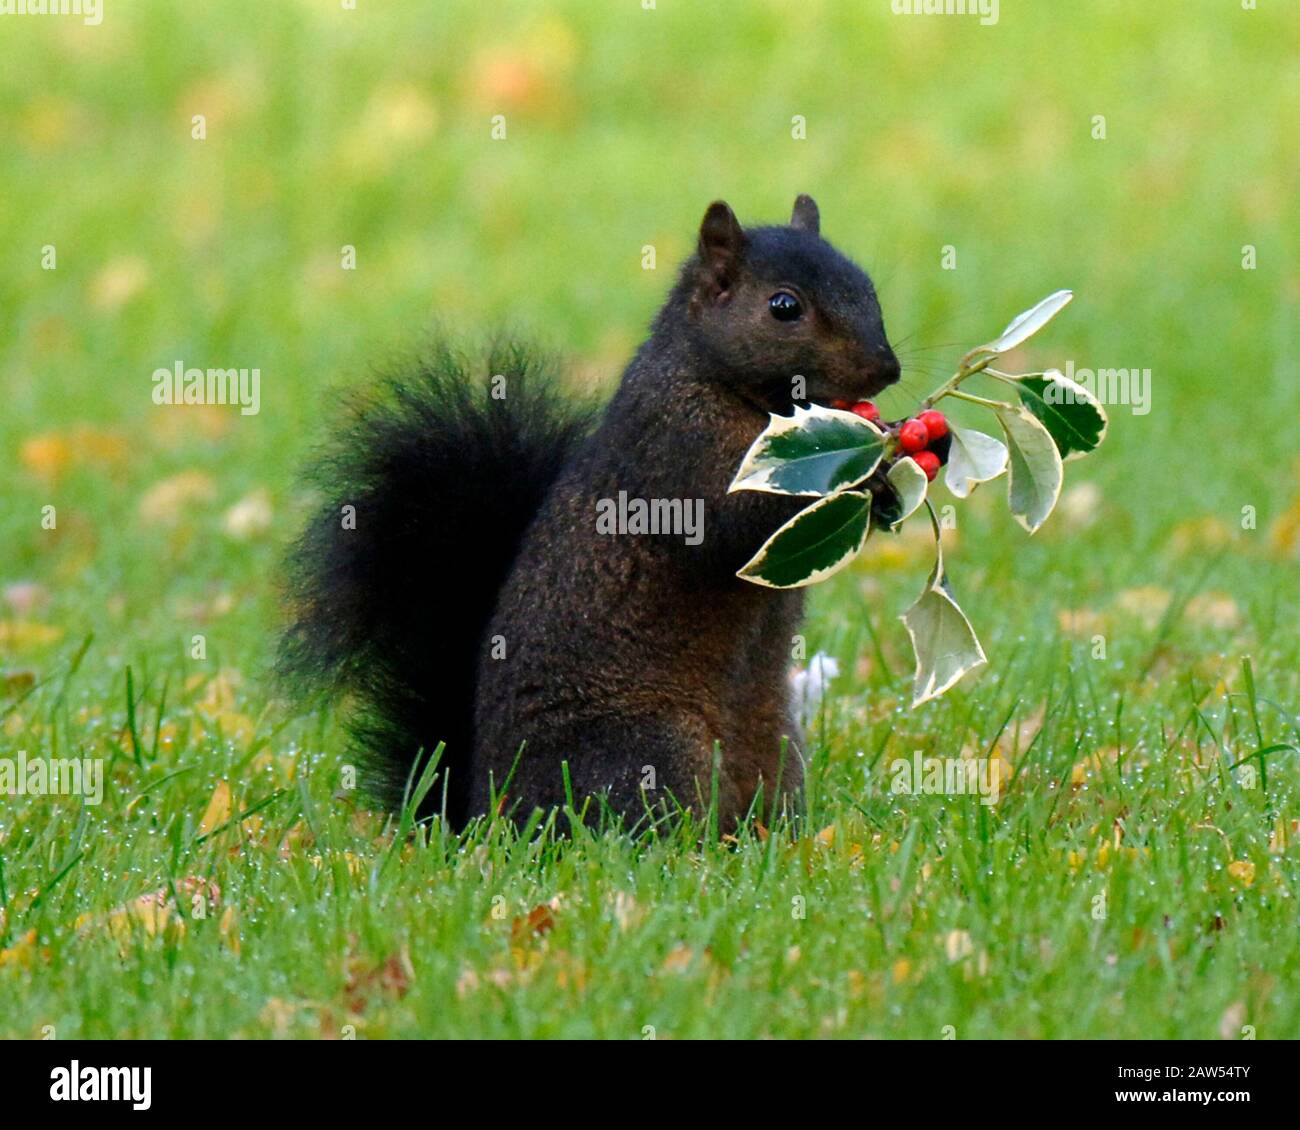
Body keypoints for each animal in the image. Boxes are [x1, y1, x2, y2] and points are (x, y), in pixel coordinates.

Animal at [279, 195, 900, 830]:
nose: (886, 370)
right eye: (784, 307)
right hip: (650, 747)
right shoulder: (674, 446)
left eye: (867, 286)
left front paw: (889, 485)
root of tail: (485, 813)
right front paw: (866, 471)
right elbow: (728, 524)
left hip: (775, 745)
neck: (735, 390)